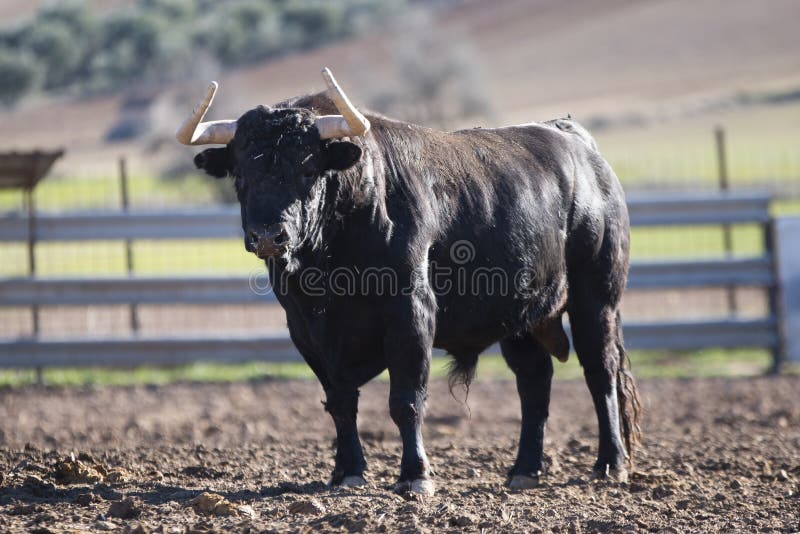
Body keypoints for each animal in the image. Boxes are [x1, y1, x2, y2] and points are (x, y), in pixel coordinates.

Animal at [176, 68, 641, 496]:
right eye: (240, 175)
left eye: (307, 171)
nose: (268, 236)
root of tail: (575, 140)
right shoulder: (305, 330)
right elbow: (340, 402)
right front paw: (347, 472)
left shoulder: (411, 313)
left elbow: (406, 400)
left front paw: (415, 476)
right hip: (521, 316)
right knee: (534, 381)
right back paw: (524, 470)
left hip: (596, 298)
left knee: (600, 371)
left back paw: (609, 464)